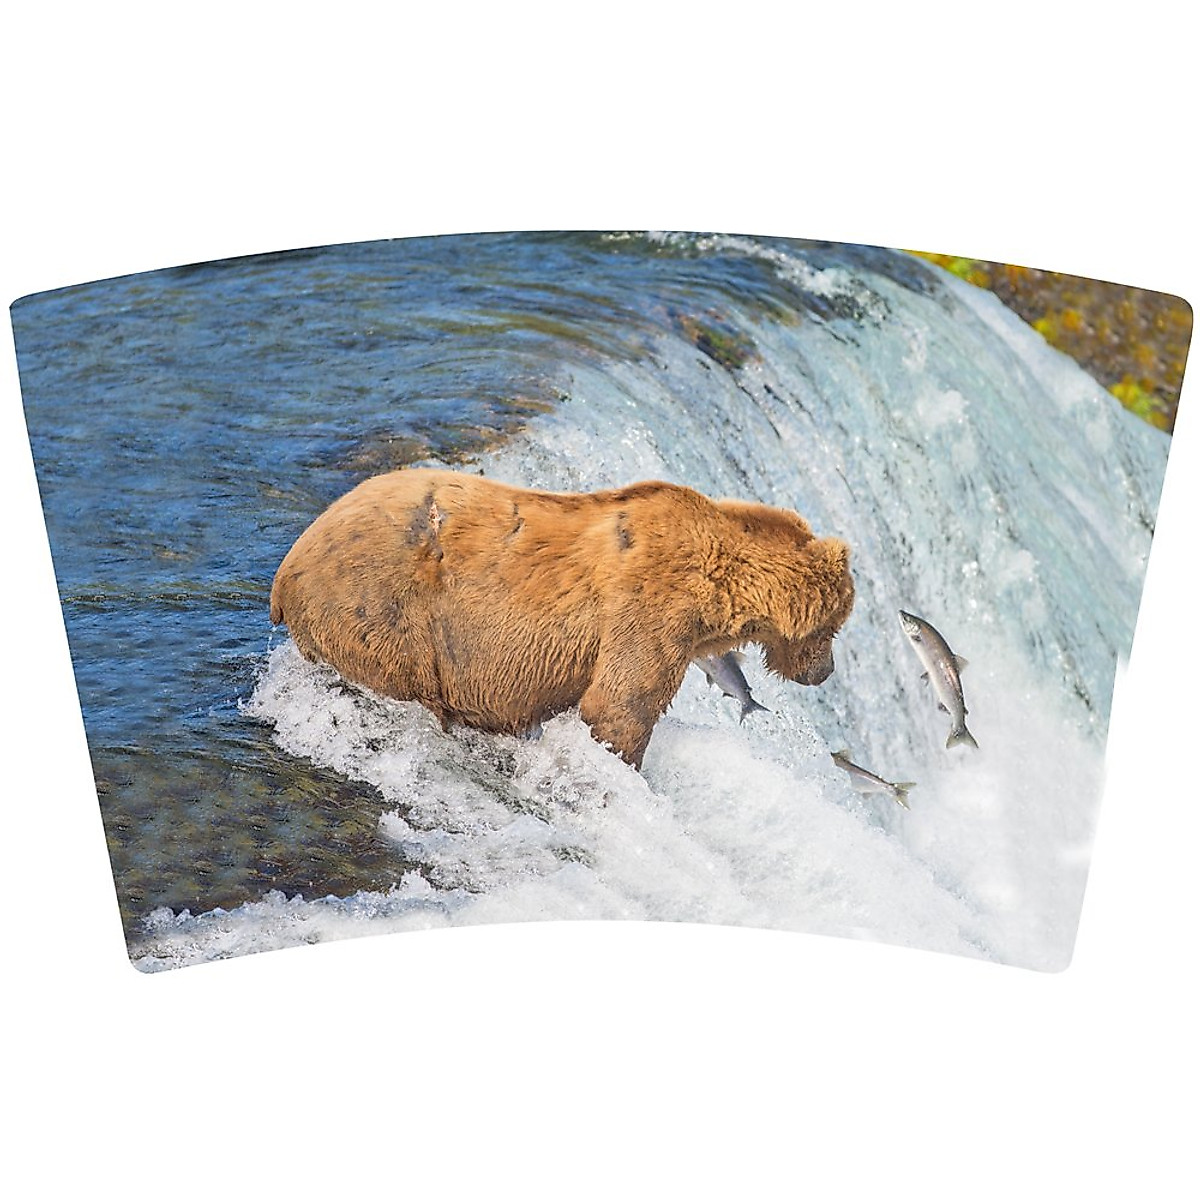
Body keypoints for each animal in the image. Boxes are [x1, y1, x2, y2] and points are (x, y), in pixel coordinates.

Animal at [269, 468, 855, 768]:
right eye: (835, 627)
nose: (824, 671)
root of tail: (286, 567)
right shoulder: (649, 606)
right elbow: (621, 705)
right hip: (383, 610)